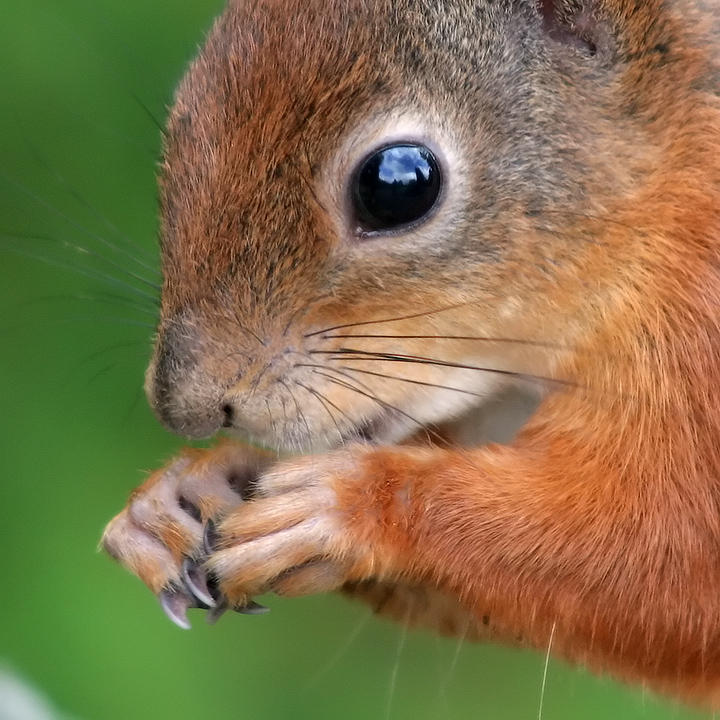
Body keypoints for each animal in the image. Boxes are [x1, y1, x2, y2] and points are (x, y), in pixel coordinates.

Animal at [101, 0, 720, 706]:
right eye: (180, 124)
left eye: (397, 185)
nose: (187, 408)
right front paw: (183, 494)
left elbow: (668, 572)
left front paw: (351, 504)